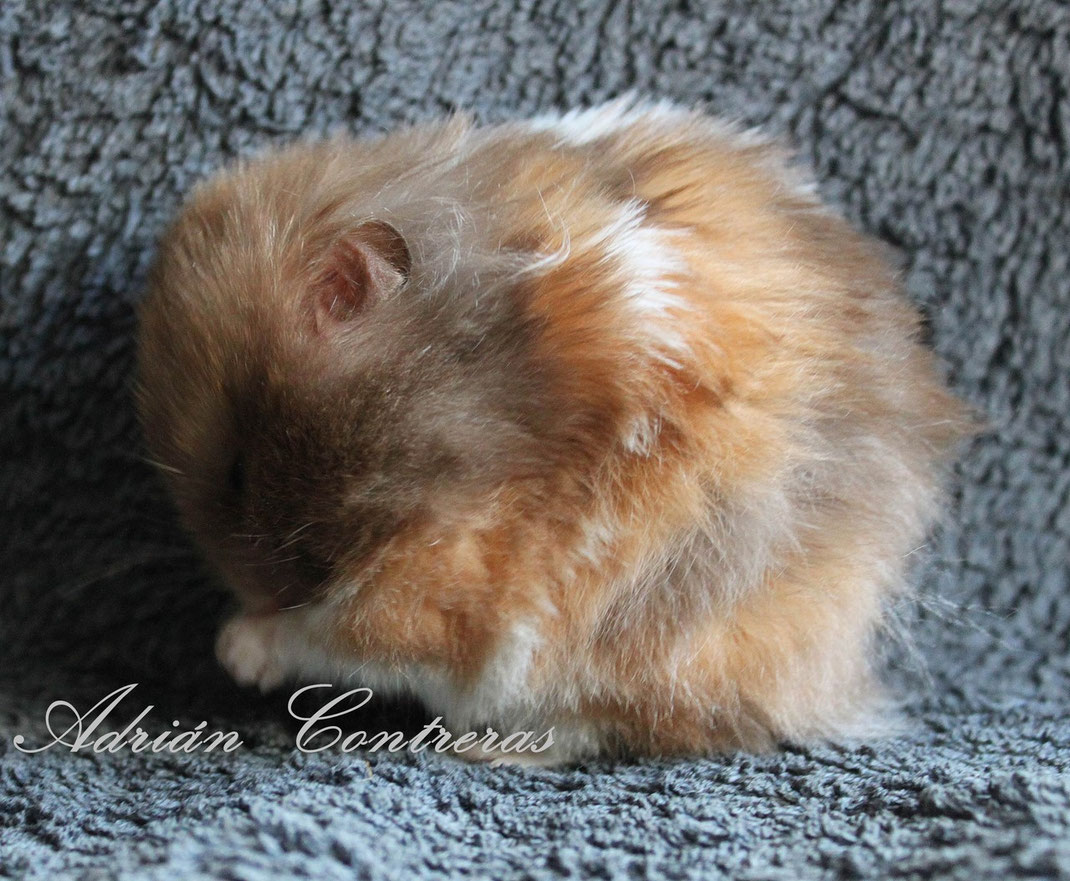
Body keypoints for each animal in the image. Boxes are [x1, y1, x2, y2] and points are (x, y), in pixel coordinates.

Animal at [136, 97, 971, 764]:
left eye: (238, 470)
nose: (243, 589)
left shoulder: (450, 587)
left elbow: (339, 632)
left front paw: (236, 647)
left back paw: (483, 751)